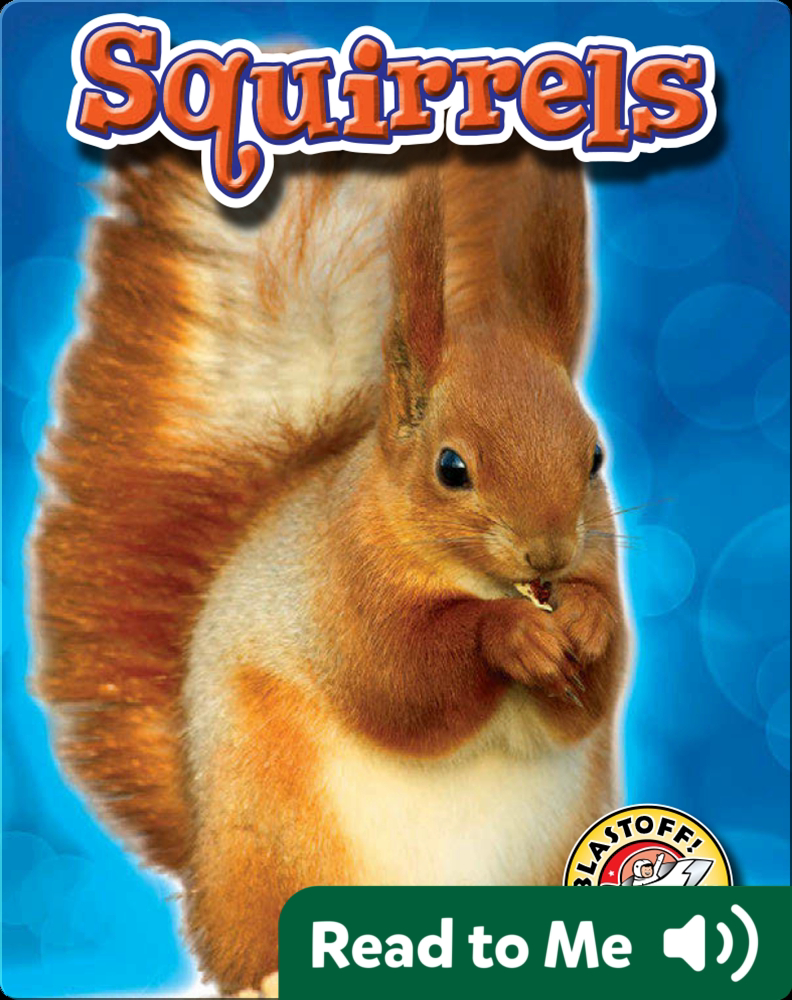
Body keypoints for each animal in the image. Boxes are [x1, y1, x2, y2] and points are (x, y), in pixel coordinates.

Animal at [33, 137, 628, 995]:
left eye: (596, 456)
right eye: (452, 468)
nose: (549, 553)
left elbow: (593, 694)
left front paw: (583, 620)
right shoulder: (342, 591)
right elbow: (404, 680)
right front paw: (511, 634)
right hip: (278, 850)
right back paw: (271, 976)